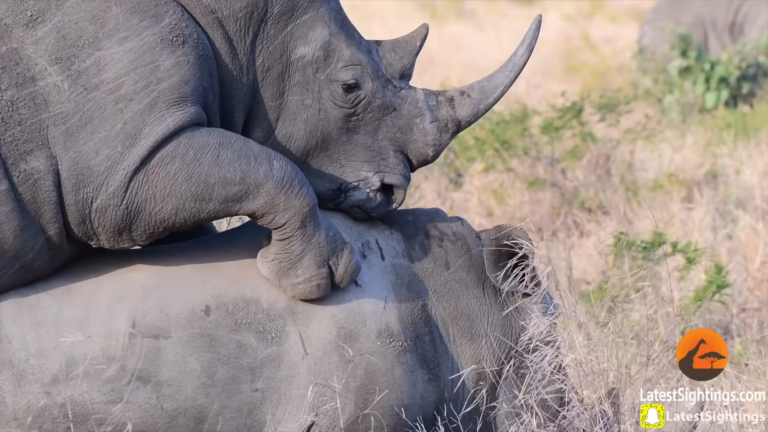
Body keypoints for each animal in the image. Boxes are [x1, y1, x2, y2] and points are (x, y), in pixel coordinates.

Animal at [0, 0, 541, 300]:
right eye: (349, 87)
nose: (391, 194)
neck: (239, 27)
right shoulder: (119, 177)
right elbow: (275, 171)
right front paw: (321, 282)